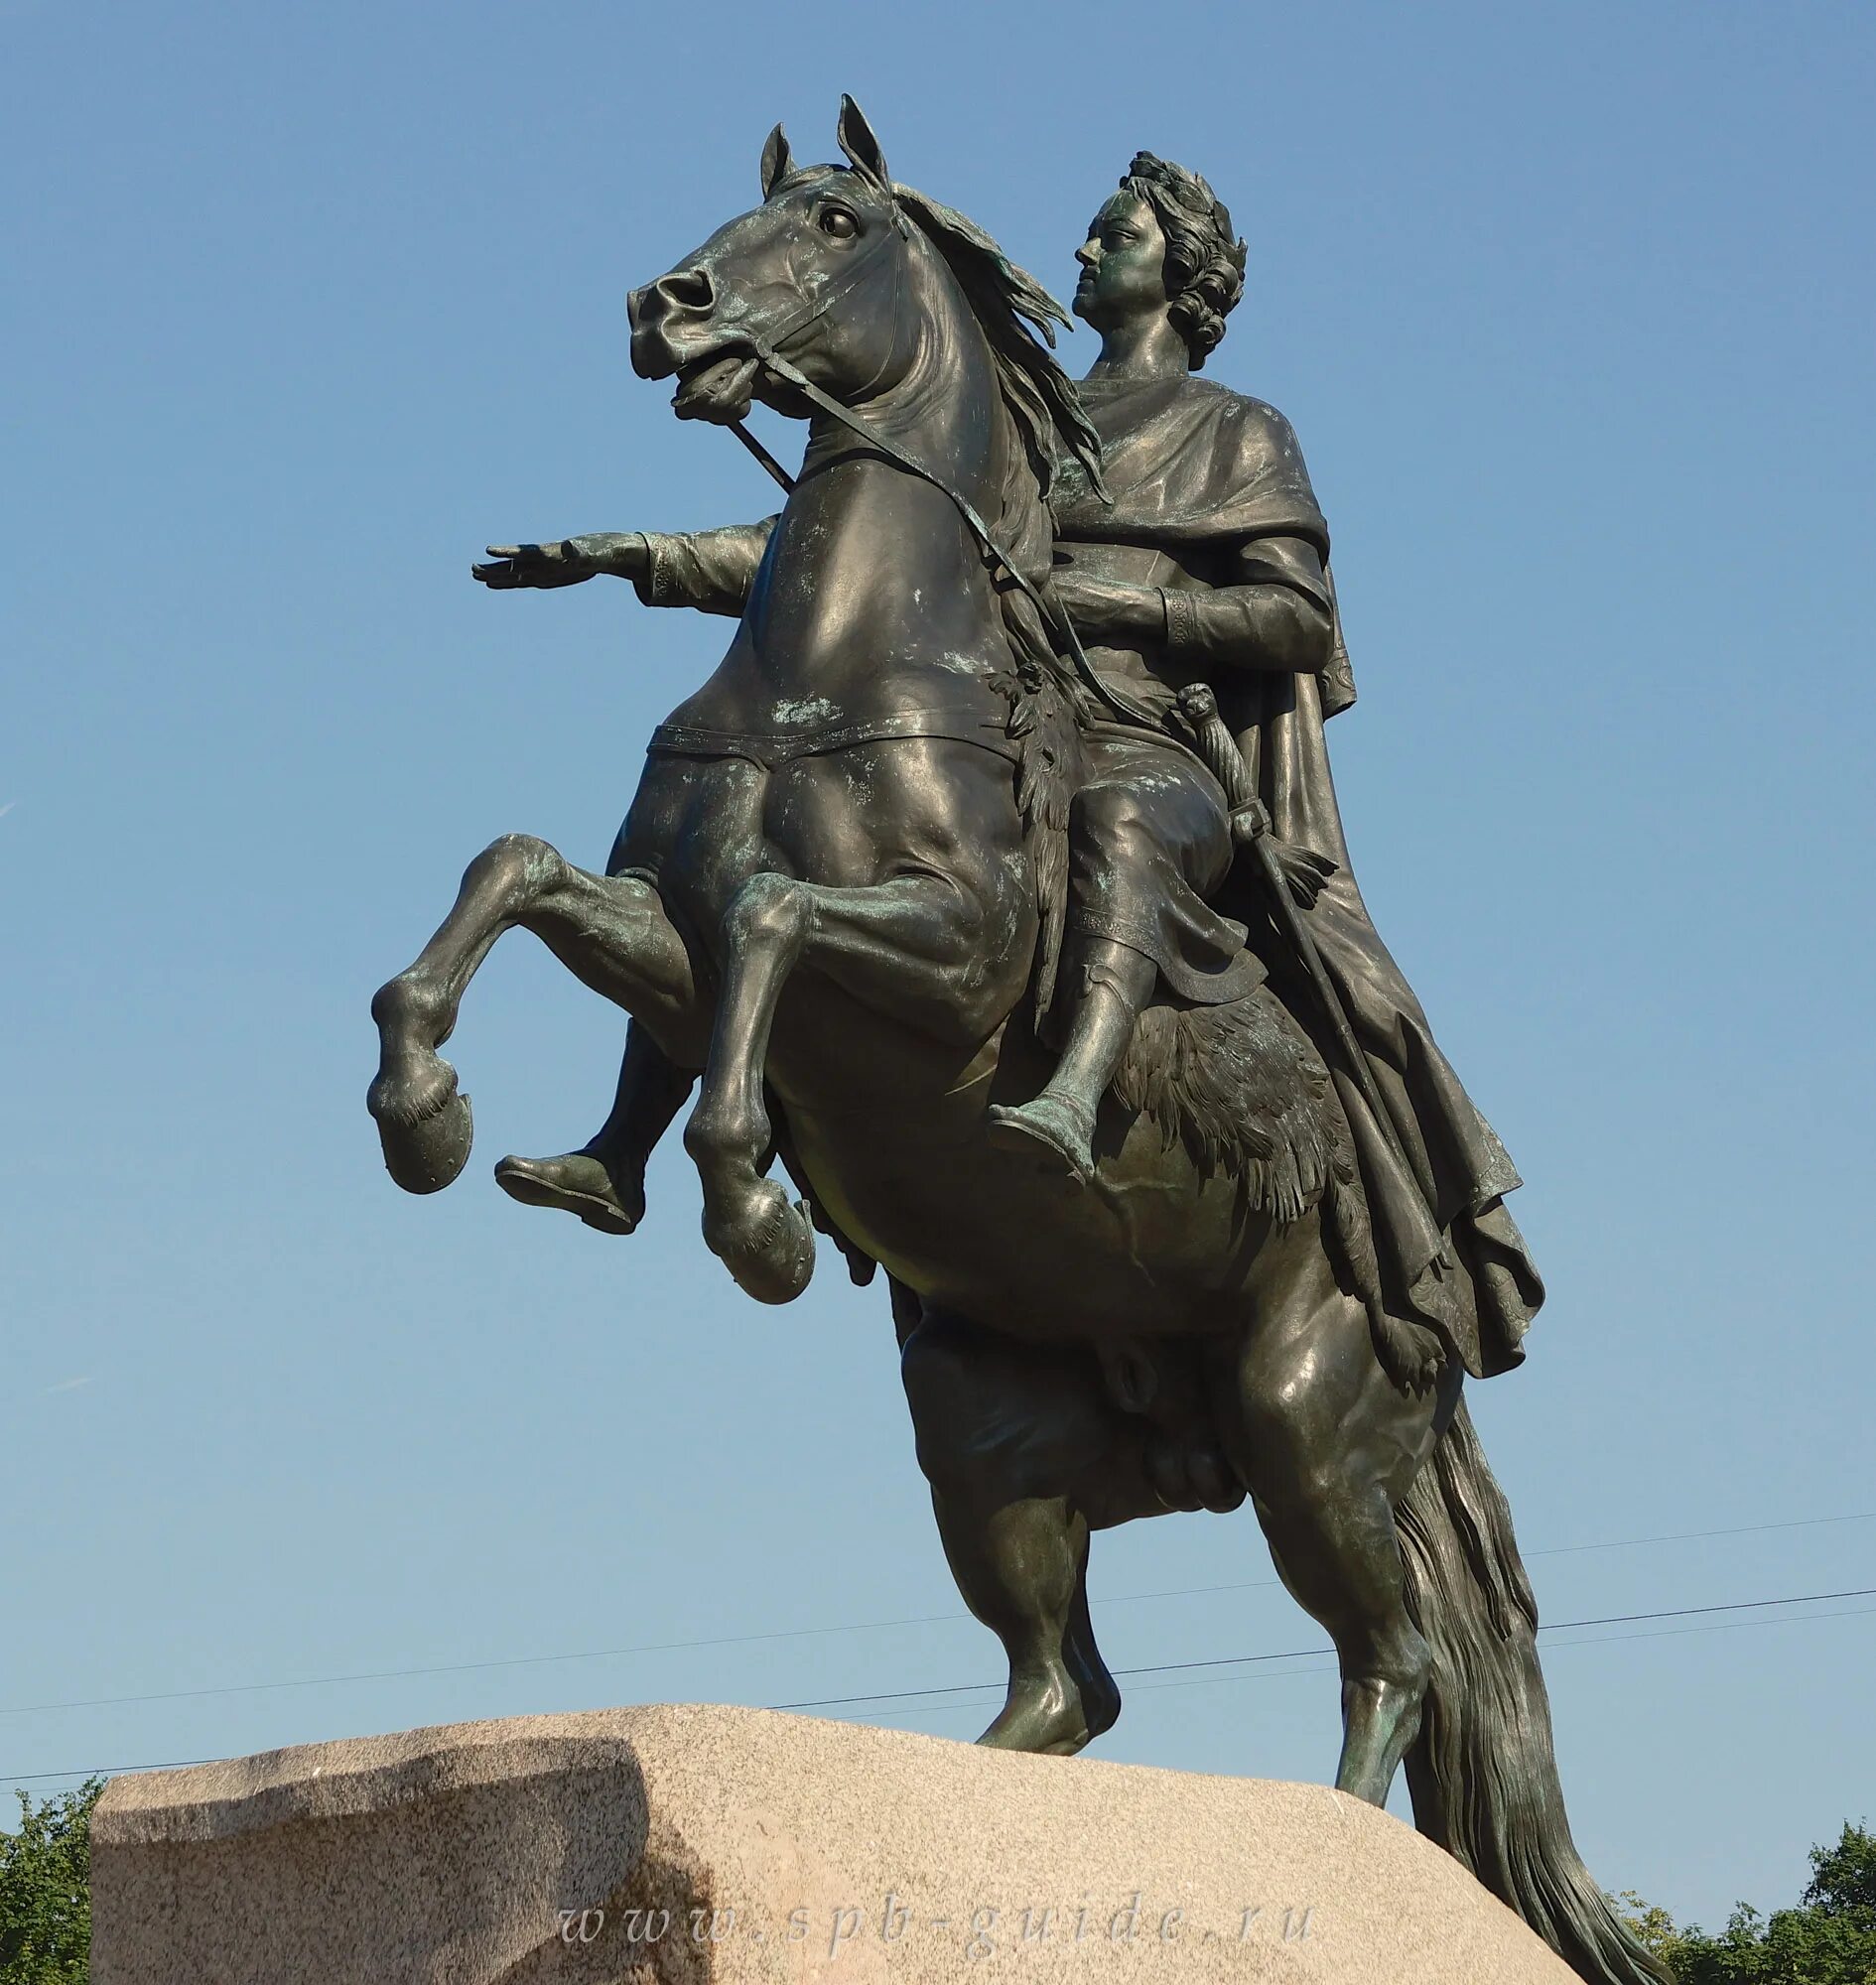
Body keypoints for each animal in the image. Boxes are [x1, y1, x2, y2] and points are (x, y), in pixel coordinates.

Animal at [365, 104, 1668, 1985]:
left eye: (835, 225)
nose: (665, 307)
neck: (839, 671)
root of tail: (1433, 1291)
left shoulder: (952, 967)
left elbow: (775, 926)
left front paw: (755, 1212)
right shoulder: (663, 941)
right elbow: (523, 876)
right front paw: (436, 1114)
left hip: (1303, 1408)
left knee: (1400, 1664)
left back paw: (1326, 1846)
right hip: (986, 1438)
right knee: (1067, 1692)